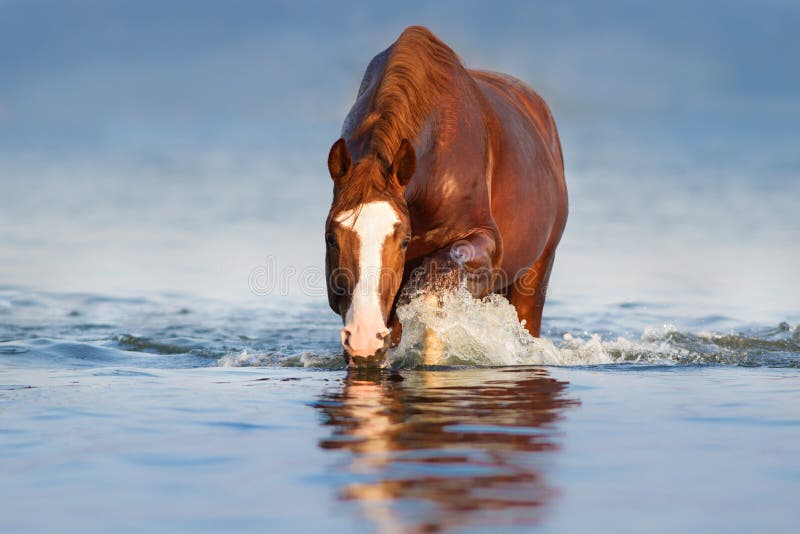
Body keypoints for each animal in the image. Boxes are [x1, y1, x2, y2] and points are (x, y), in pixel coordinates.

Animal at [325, 26, 568, 367]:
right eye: (331, 238)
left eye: (403, 241)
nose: (364, 339)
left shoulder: (485, 243)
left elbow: (431, 285)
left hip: (534, 277)